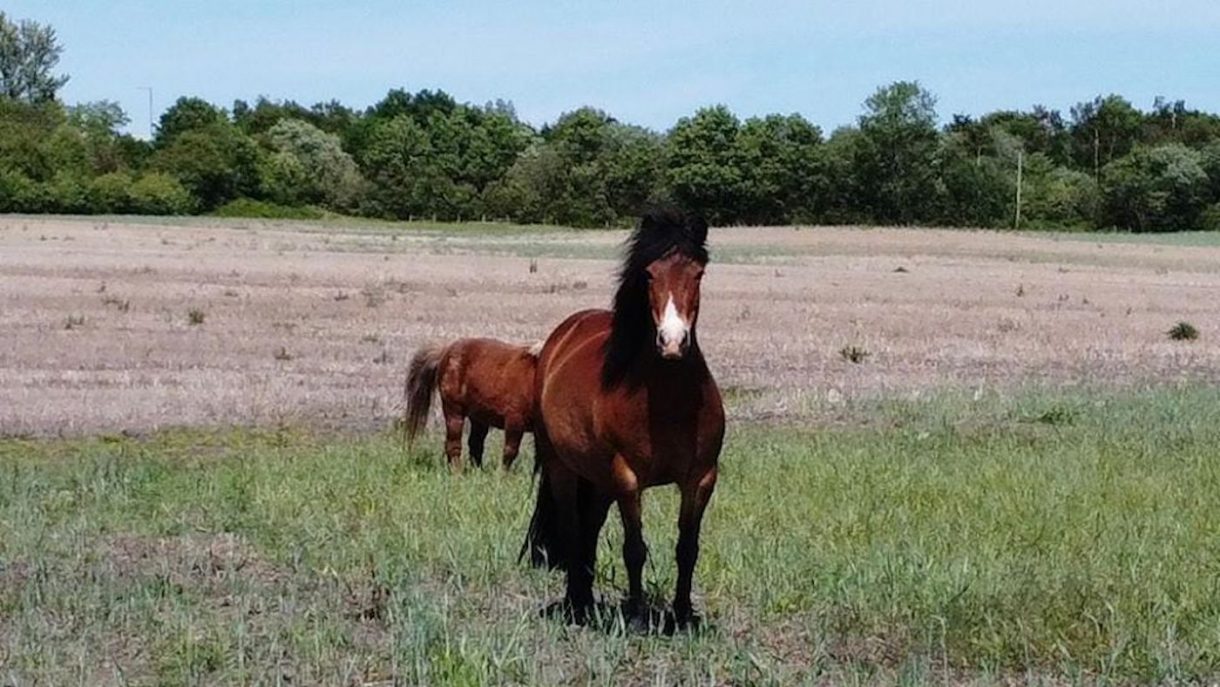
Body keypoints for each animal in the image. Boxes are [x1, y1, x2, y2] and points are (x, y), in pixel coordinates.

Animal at [403, 338, 539, 470]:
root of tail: (445, 351)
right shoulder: (514, 420)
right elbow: (510, 452)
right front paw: (503, 475)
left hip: (479, 418)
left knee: (475, 445)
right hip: (454, 410)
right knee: (454, 445)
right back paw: (457, 472)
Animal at [522, 207, 724, 629]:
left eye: (698, 273)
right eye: (648, 274)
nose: (672, 342)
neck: (668, 401)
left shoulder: (700, 478)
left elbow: (687, 547)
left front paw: (682, 615)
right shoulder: (628, 479)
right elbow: (635, 548)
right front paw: (636, 615)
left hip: (598, 479)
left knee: (589, 529)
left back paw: (585, 597)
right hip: (563, 468)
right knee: (572, 528)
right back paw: (576, 605)